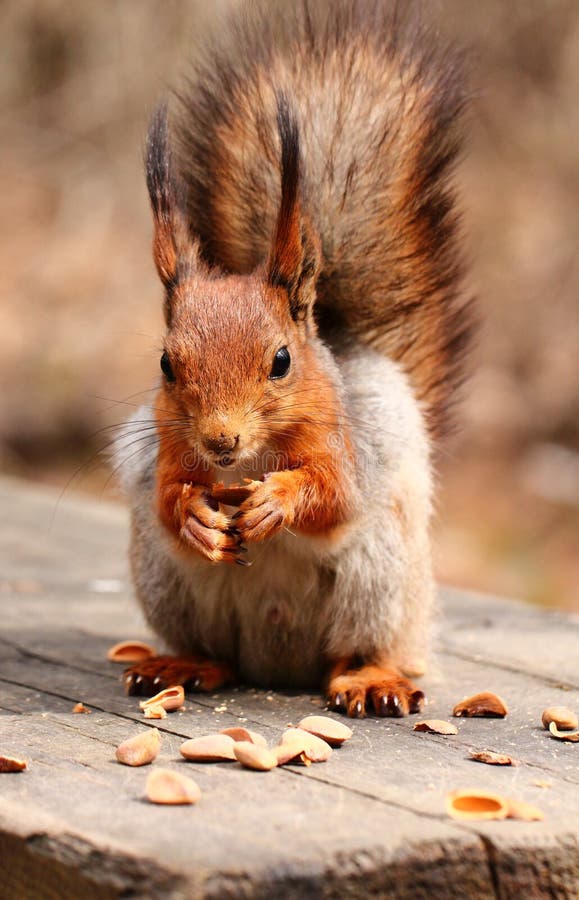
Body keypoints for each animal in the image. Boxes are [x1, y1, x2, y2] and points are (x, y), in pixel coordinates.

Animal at [115, 0, 472, 717]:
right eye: (167, 365)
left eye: (281, 361)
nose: (221, 441)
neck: (247, 461)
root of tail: (279, 666)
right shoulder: (168, 445)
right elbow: (167, 497)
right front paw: (192, 513)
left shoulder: (343, 447)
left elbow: (333, 496)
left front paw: (279, 500)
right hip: (169, 583)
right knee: (214, 651)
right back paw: (183, 663)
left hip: (379, 579)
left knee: (359, 648)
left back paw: (371, 678)